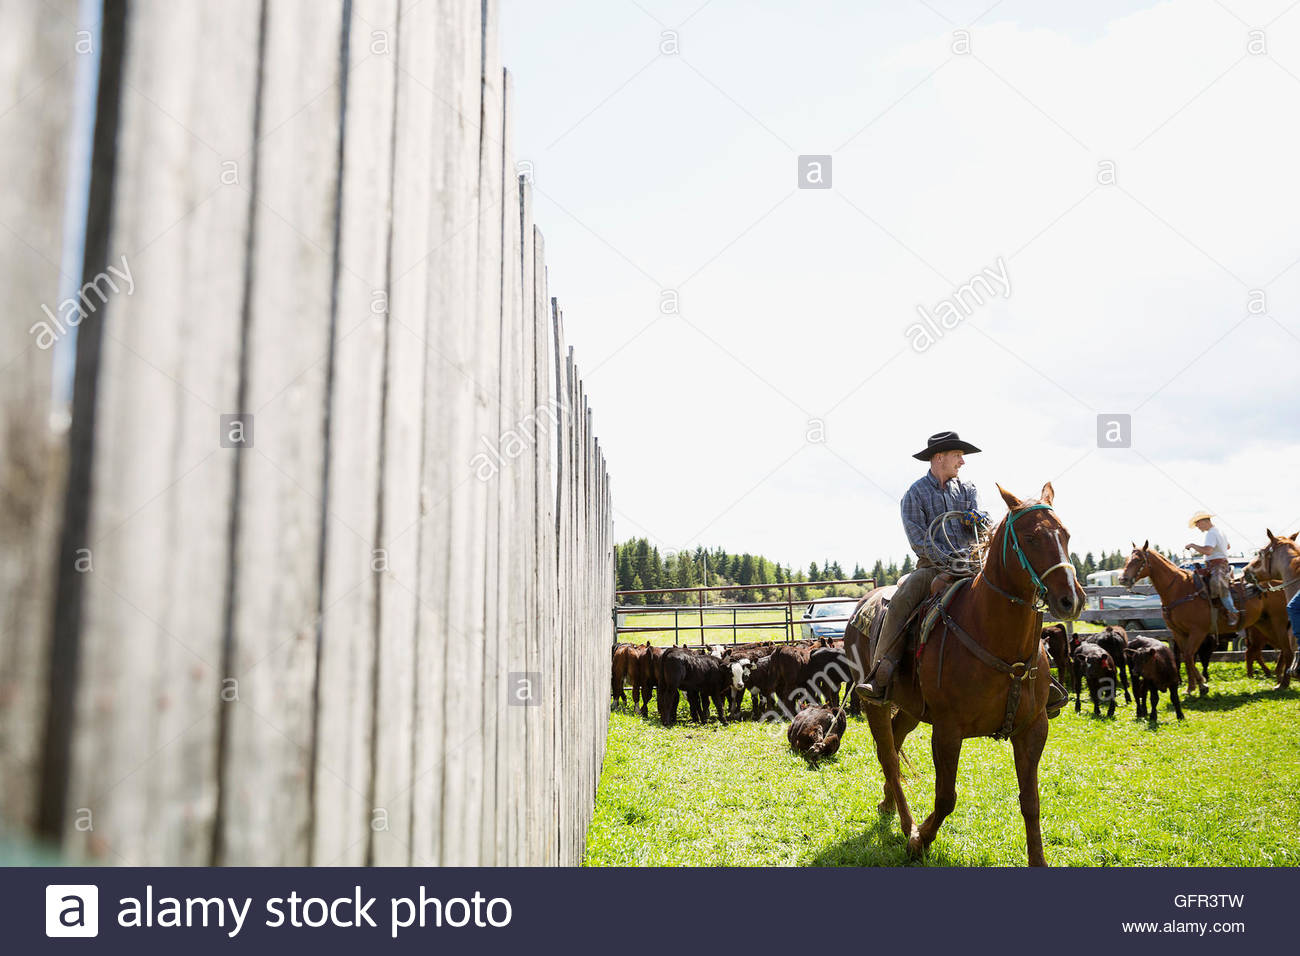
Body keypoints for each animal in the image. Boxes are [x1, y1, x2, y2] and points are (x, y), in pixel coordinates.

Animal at [859, 482, 1085, 867]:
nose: (1071, 599)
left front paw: (1038, 861)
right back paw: (906, 823)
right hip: (875, 701)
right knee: (888, 756)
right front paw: (920, 839)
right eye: (1030, 538)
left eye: (1066, 534)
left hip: (911, 709)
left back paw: (888, 803)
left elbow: (1031, 802)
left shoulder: (1033, 728)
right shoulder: (948, 731)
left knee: (896, 741)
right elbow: (946, 797)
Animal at [1118, 542, 1288, 695]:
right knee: (1276, 647)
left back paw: (1281, 678)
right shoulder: (1178, 633)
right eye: (1126, 559)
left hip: (1277, 621)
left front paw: (1201, 684)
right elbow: (1186, 656)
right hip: (1263, 624)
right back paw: (1278, 676)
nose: (1122, 579)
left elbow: (1189, 655)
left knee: (1284, 646)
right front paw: (1192, 687)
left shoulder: (1198, 631)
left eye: (1138, 559)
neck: (1178, 589)